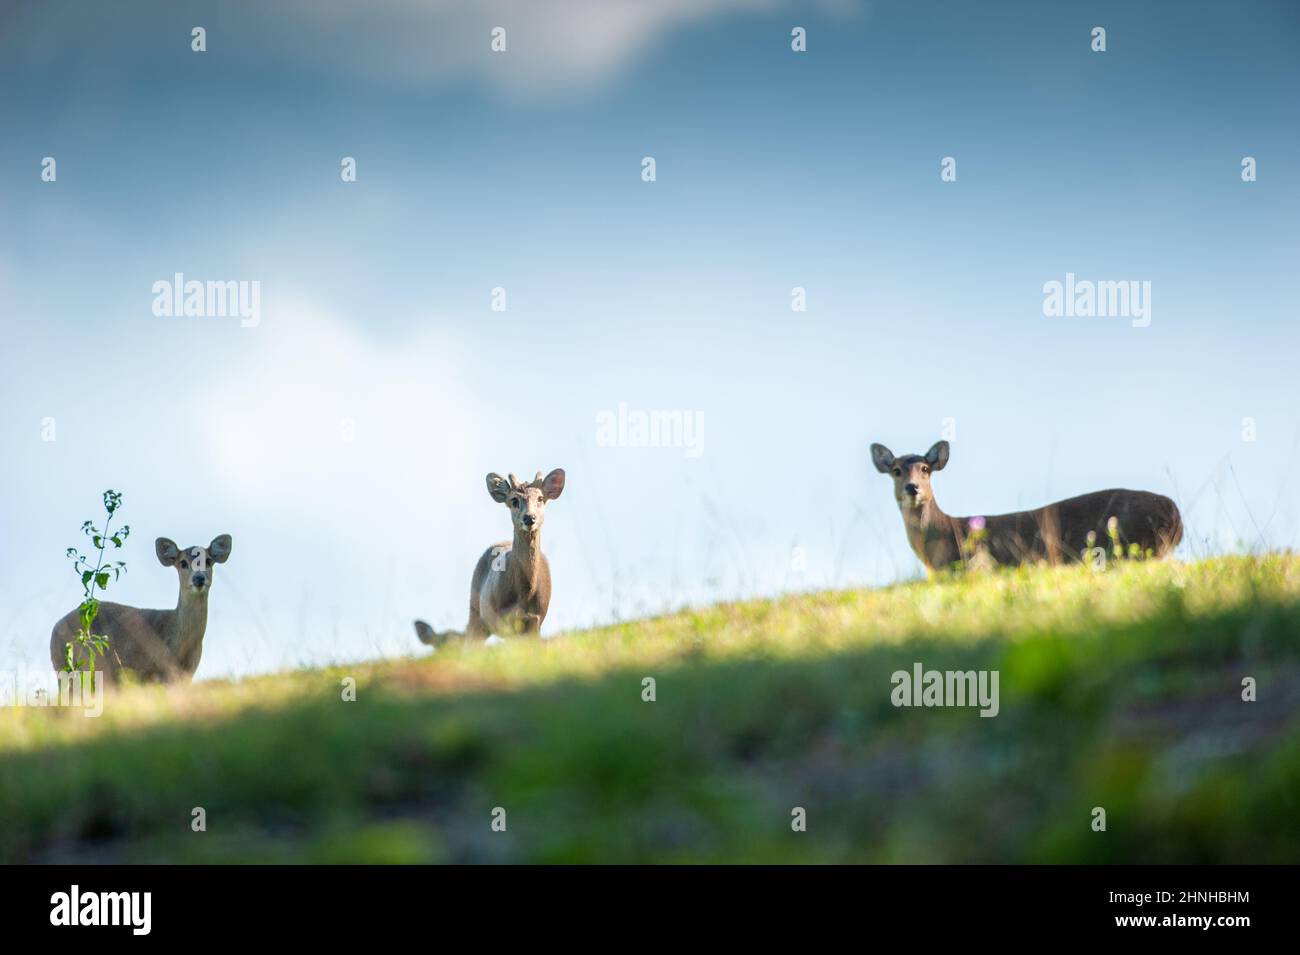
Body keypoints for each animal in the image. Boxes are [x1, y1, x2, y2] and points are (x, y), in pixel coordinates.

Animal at [415, 469, 565, 647]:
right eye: (514, 500)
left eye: (540, 498)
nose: (529, 517)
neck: (525, 593)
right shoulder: (503, 619)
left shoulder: (535, 620)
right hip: (475, 609)